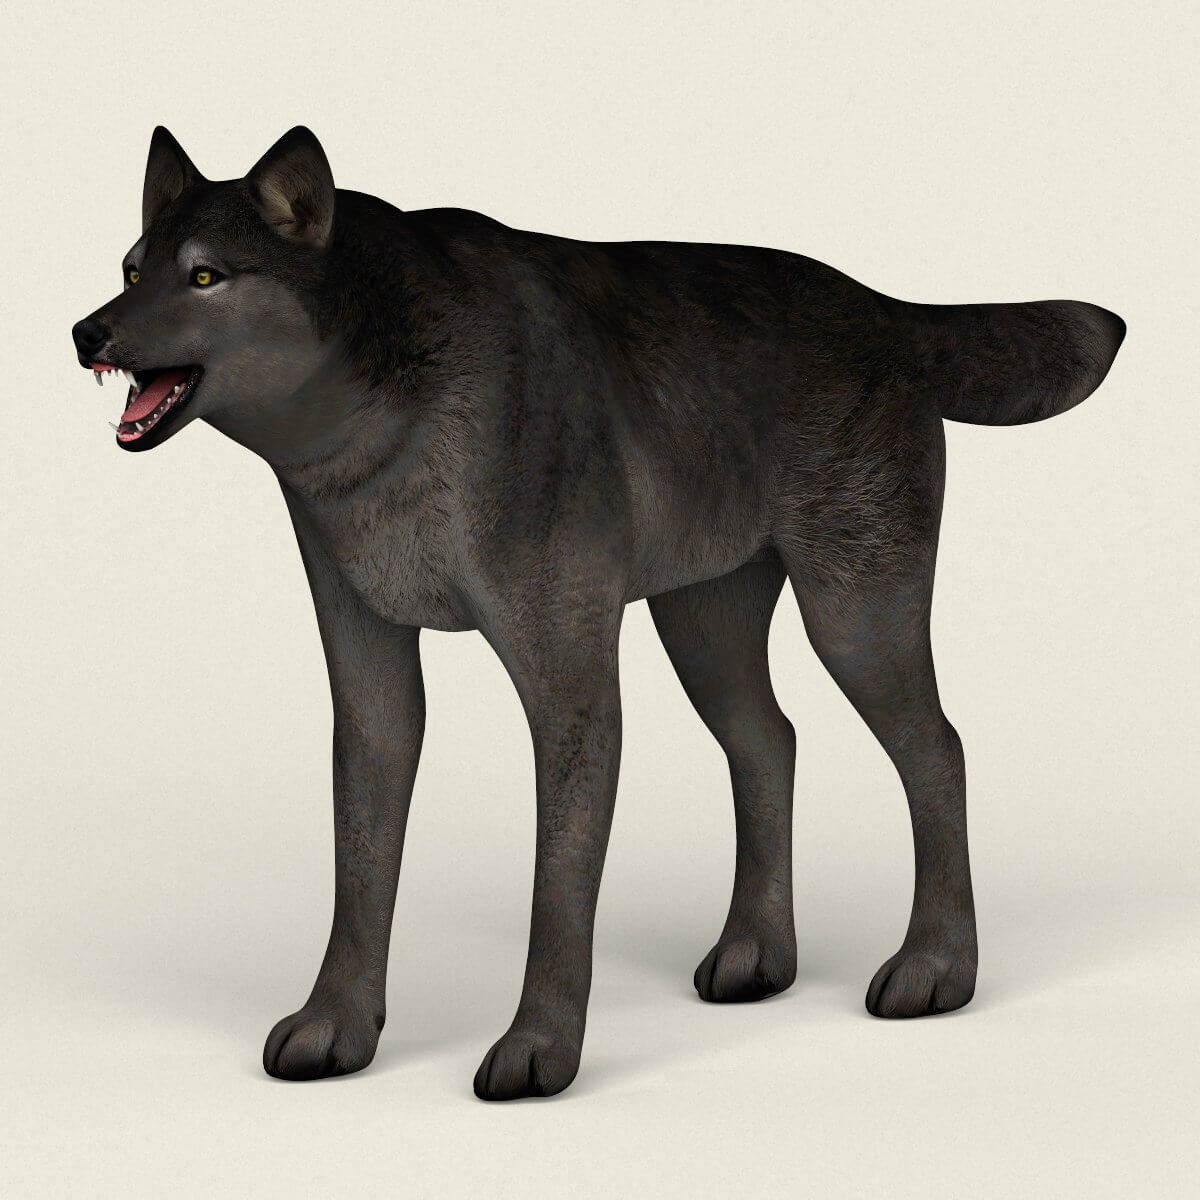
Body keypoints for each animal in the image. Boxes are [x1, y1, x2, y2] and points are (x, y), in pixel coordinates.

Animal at [72, 127, 1124, 1099]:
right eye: (130, 269)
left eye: (205, 275)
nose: (87, 332)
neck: (386, 431)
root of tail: (882, 307)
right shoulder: (371, 684)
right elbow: (361, 868)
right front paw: (338, 1027)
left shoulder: (570, 684)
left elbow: (558, 889)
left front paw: (539, 1049)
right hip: (704, 631)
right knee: (772, 741)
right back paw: (758, 955)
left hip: (852, 620)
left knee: (937, 749)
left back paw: (937, 968)